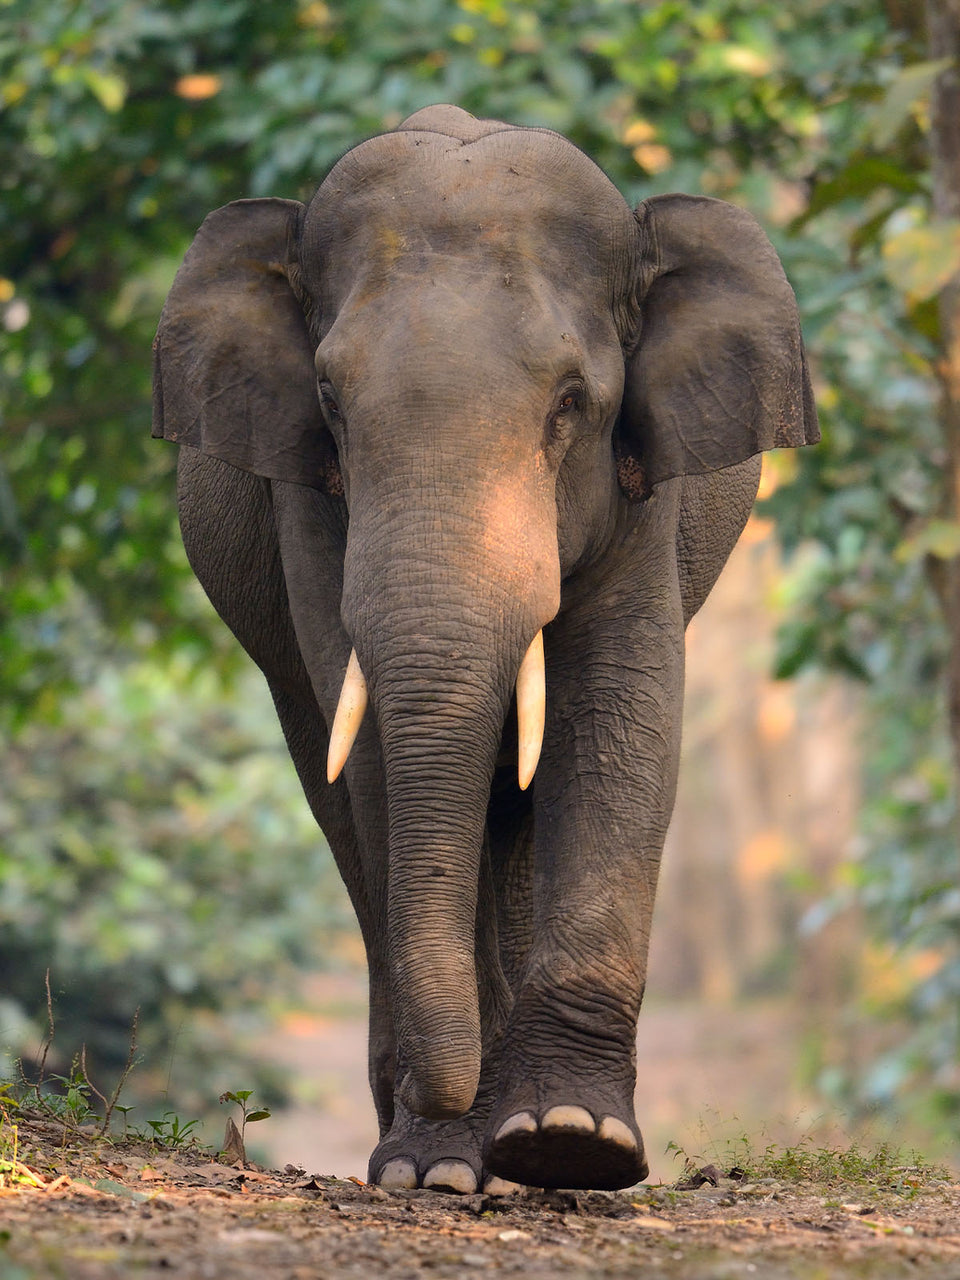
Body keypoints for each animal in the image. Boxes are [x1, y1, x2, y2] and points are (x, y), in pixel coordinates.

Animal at [152, 104, 818, 1194]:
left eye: (571, 403)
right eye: (329, 402)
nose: (452, 1109)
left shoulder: (648, 483)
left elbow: (620, 712)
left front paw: (570, 1140)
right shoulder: (305, 501)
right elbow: (376, 742)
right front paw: (440, 1168)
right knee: (345, 806)